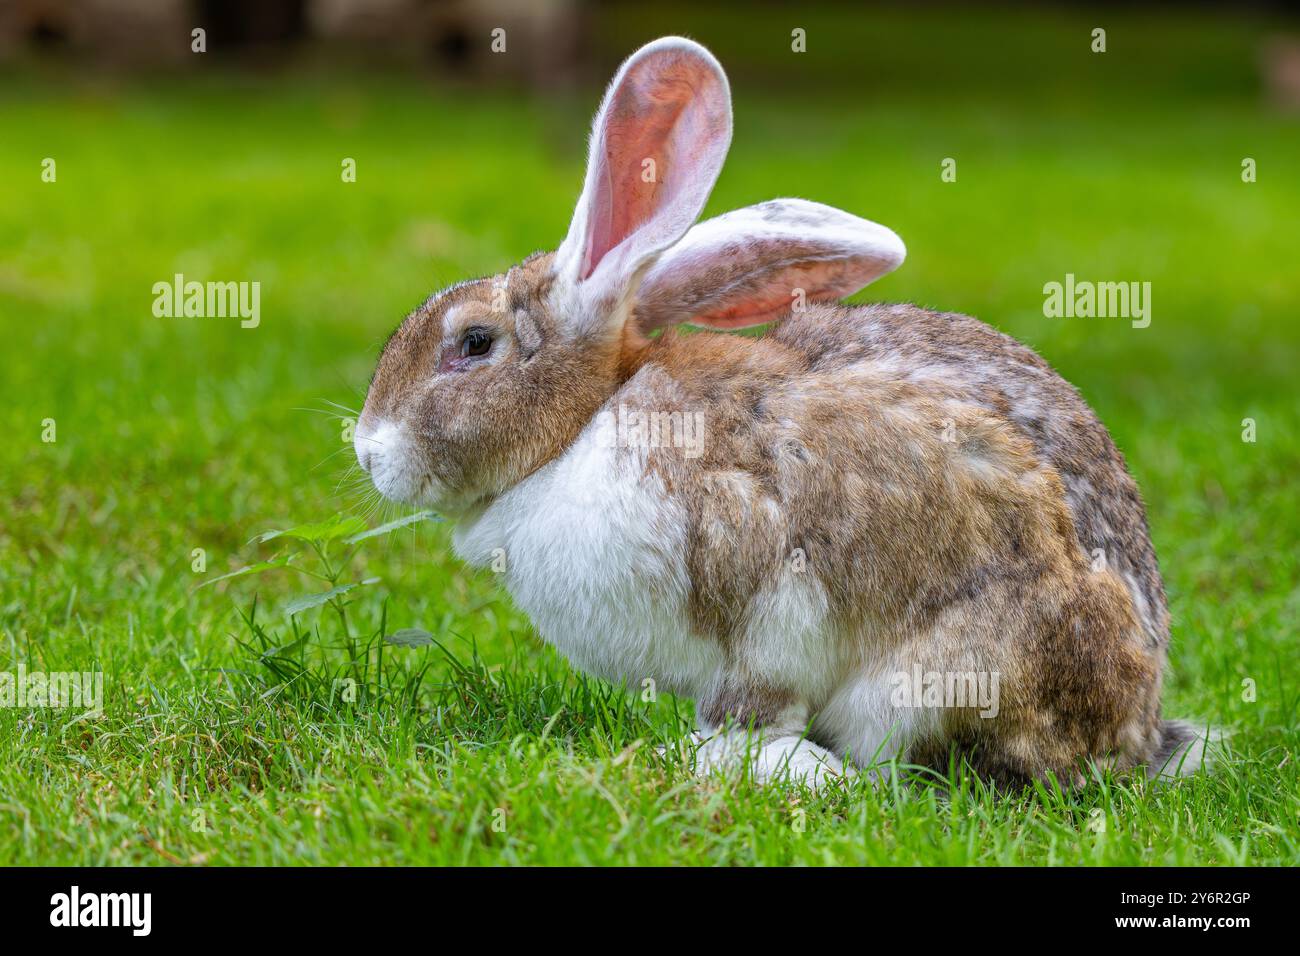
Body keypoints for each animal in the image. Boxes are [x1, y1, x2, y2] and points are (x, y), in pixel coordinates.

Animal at [354, 36, 1210, 787]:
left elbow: (753, 707)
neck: (585, 423)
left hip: (937, 677)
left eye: (473, 343)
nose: (367, 450)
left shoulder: (760, 609)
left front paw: (730, 762)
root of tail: (1133, 732)